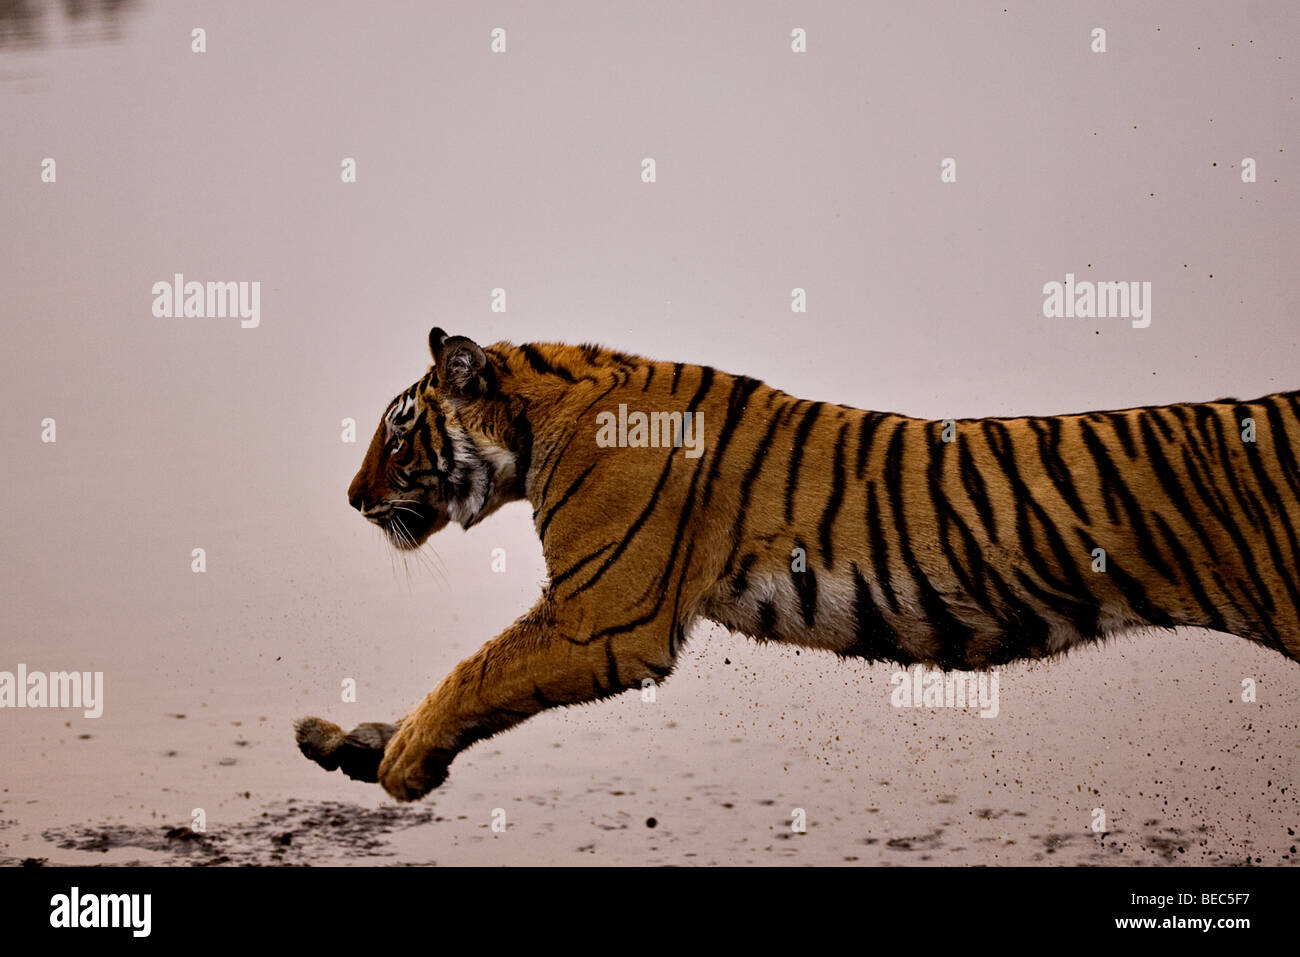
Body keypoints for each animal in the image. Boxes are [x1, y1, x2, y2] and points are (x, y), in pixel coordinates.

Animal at [296, 327, 1300, 801]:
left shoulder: (600, 619)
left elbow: (472, 671)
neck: (538, 427)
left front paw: (405, 763)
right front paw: (348, 744)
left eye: (398, 433)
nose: (346, 497)